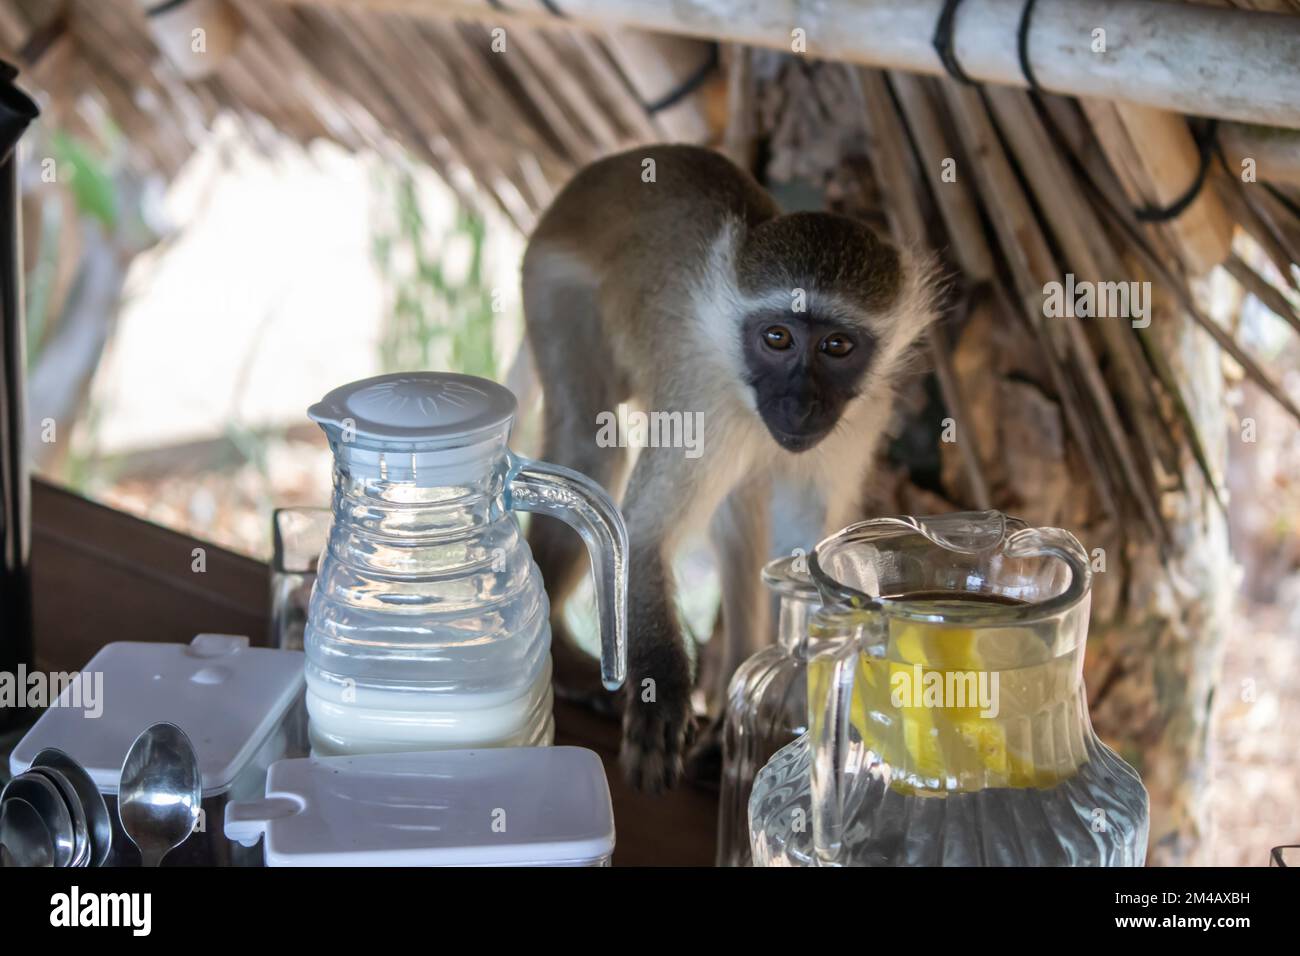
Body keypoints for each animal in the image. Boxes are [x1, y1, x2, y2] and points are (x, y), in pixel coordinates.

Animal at [521, 144, 937, 792]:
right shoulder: (702, 399)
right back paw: (565, 662)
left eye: (837, 346)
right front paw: (663, 692)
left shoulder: (864, 415)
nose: (800, 403)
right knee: (591, 446)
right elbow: (640, 531)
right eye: (777, 337)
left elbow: (808, 564)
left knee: (739, 513)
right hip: (554, 289)